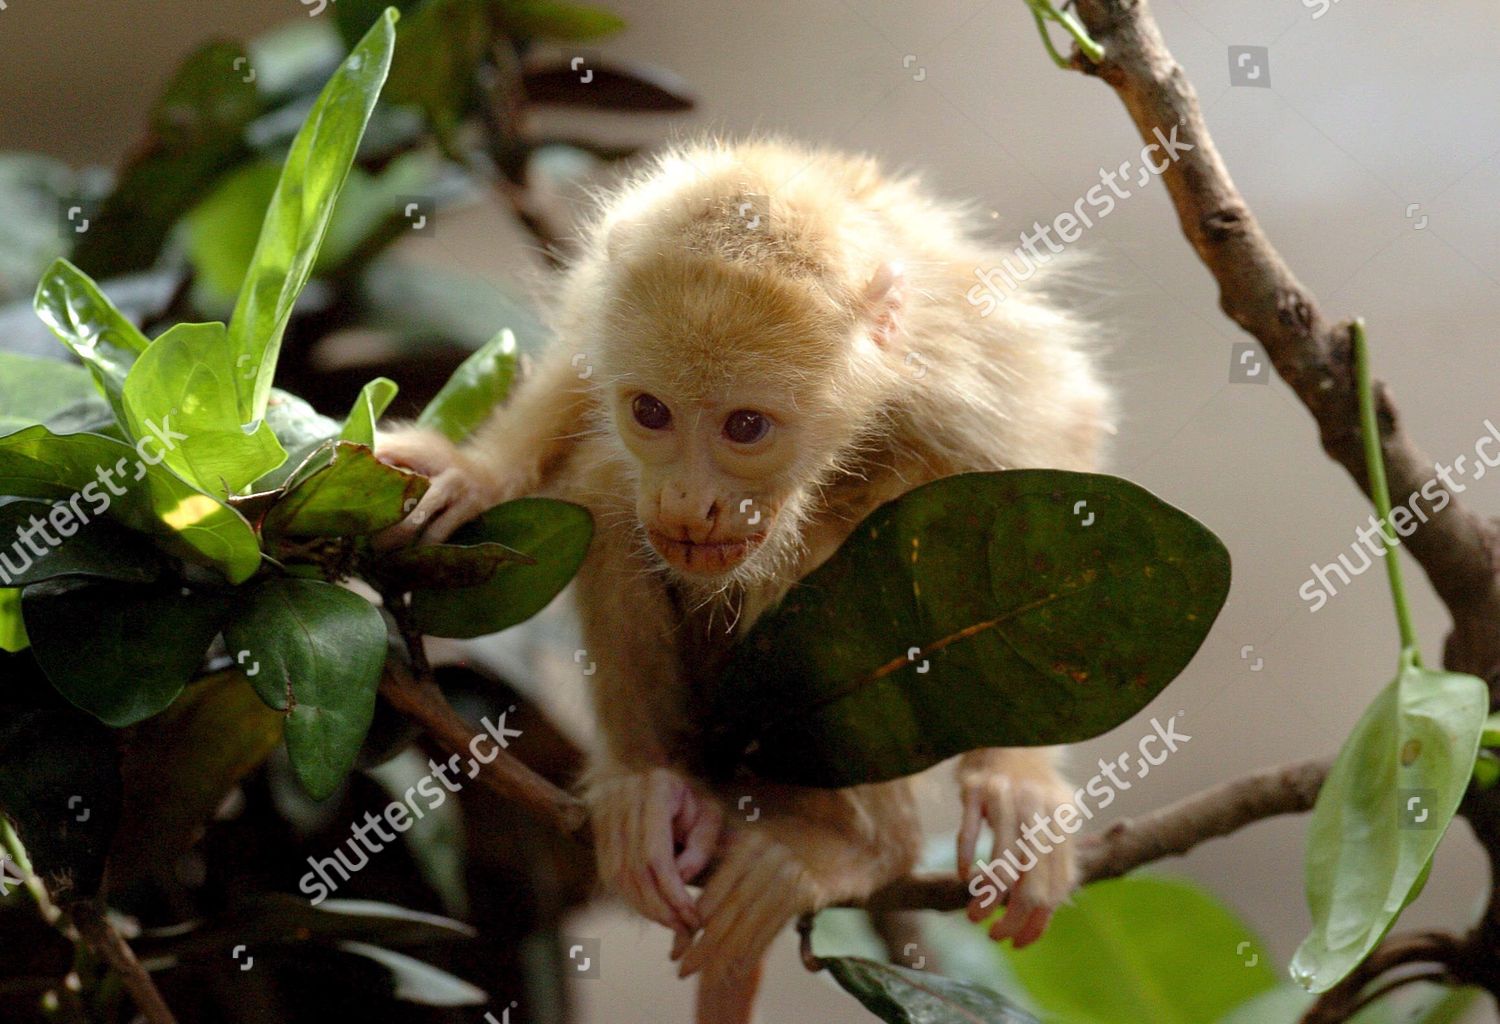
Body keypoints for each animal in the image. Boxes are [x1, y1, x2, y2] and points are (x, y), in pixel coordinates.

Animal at [376, 138, 1111, 1023]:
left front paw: (1016, 777)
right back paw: (652, 793)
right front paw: (472, 472)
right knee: (607, 494)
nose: (689, 501)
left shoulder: (962, 354)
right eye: (651, 412)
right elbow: (577, 390)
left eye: (746, 427)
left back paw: (856, 848)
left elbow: (1064, 434)